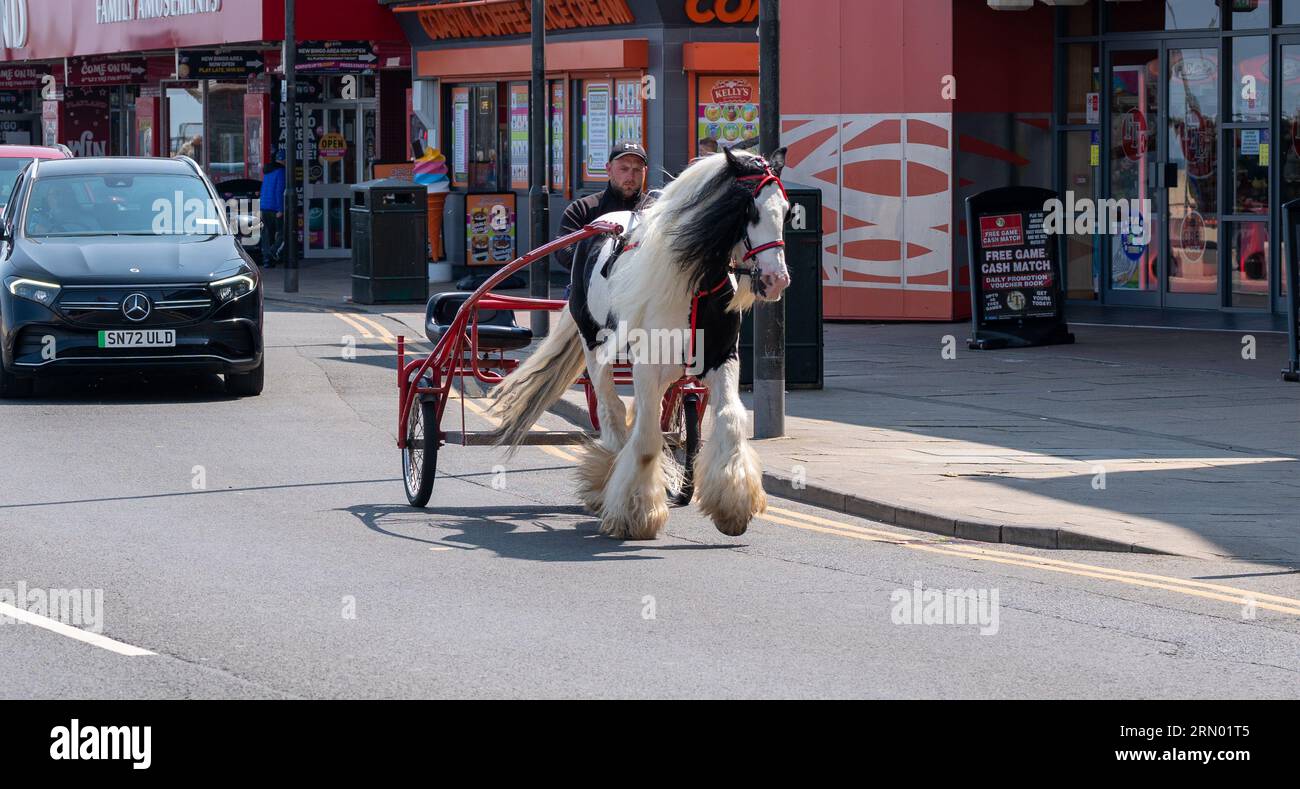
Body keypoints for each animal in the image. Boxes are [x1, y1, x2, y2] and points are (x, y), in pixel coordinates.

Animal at [489, 146, 791, 540]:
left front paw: (733, 506)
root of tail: (604, 223)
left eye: (786, 210)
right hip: (596, 350)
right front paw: (636, 513)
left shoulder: (721, 358)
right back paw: (607, 478)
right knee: (612, 411)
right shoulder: (646, 365)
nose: (776, 280)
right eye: (749, 210)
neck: (692, 282)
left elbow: (729, 418)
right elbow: (645, 439)